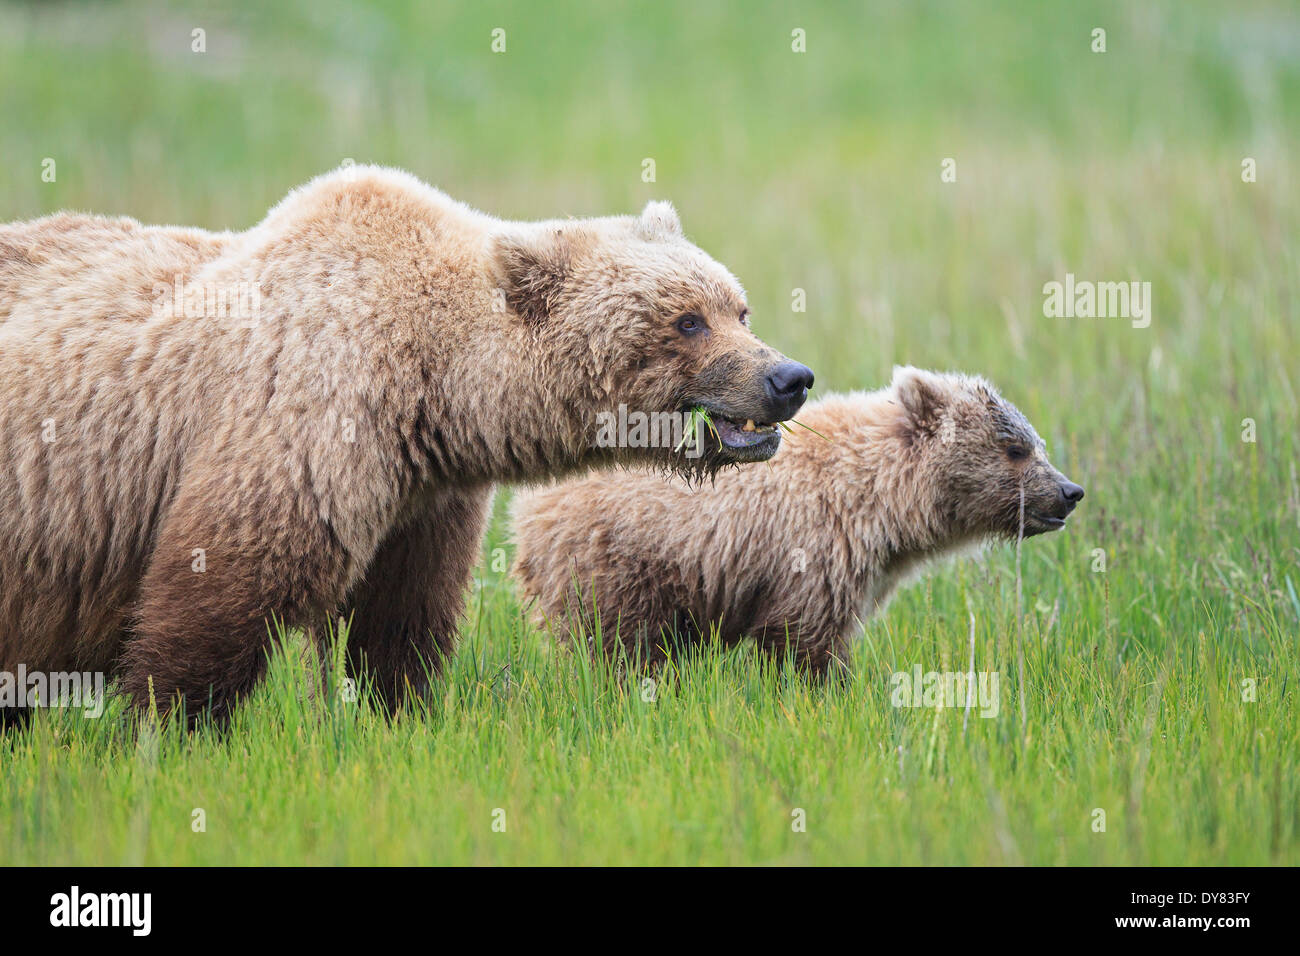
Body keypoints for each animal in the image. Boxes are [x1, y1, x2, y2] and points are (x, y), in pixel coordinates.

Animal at [0, 164, 813, 724]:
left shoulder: (419, 497)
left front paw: (399, 716)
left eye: (738, 307)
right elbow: (221, 591)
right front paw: (166, 732)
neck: (432, 383)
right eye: (687, 321)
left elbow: (397, 620)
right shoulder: (305, 420)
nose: (788, 377)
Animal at [510, 366, 1084, 676]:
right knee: (623, 648)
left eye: (1036, 442)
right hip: (619, 562)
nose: (1070, 492)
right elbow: (803, 644)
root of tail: (530, 503)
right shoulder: (811, 551)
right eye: (1014, 449)